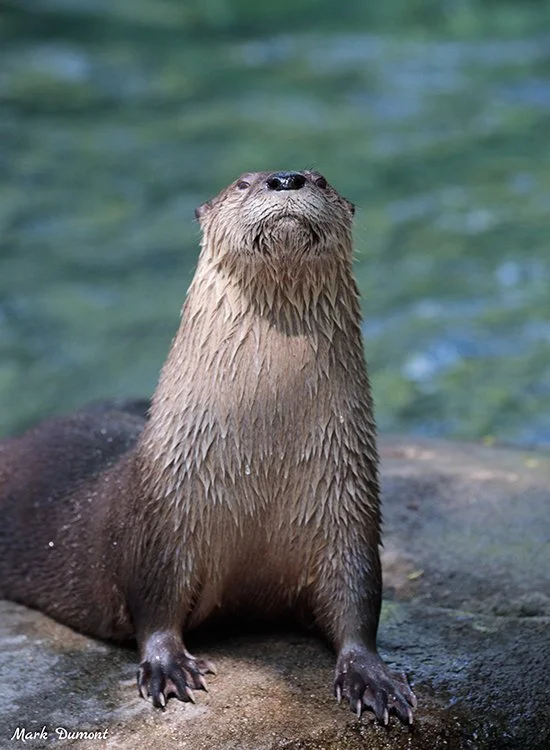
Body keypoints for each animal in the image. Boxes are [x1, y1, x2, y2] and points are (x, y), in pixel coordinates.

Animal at [0, 170, 416, 725]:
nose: (286, 178)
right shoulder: (163, 515)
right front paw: (168, 666)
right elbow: (154, 603)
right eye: (243, 182)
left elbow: (359, 598)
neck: (263, 455)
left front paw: (372, 677)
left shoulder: (346, 502)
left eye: (321, 178)